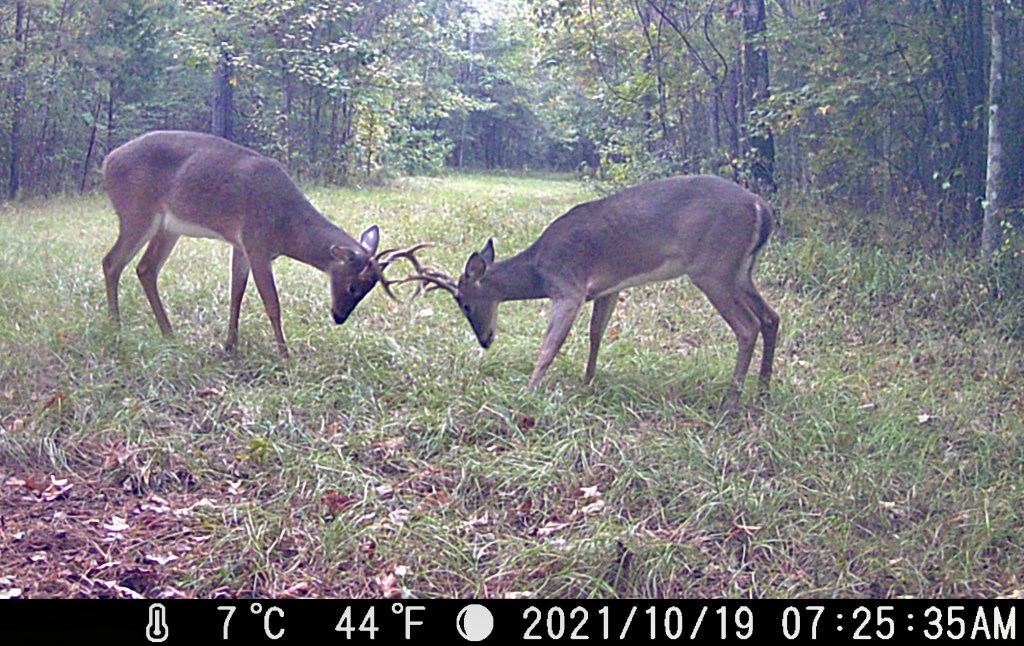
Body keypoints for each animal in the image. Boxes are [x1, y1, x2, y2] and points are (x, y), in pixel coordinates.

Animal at [101, 130, 420, 357]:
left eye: (369, 289)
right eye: (354, 285)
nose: (339, 317)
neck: (287, 226)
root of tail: (107, 161)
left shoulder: (241, 245)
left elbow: (236, 294)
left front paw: (229, 346)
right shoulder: (257, 244)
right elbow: (272, 303)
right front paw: (285, 355)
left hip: (169, 227)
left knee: (145, 269)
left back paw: (168, 334)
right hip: (137, 212)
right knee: (111, 261)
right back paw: (116, 330)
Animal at [403, 175, 779, 412]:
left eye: (464, 304)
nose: (485, 341)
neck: (538, 269)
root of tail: (762, 207)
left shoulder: (567, 288)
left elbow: (549, 346)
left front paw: (529, 392)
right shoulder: (606, 289)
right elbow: (596, 334)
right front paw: (587, 383)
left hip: (712, 267)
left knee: (747, 326)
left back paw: (730, 403)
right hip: (740, 271)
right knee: (771, 317)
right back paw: (762, 392)